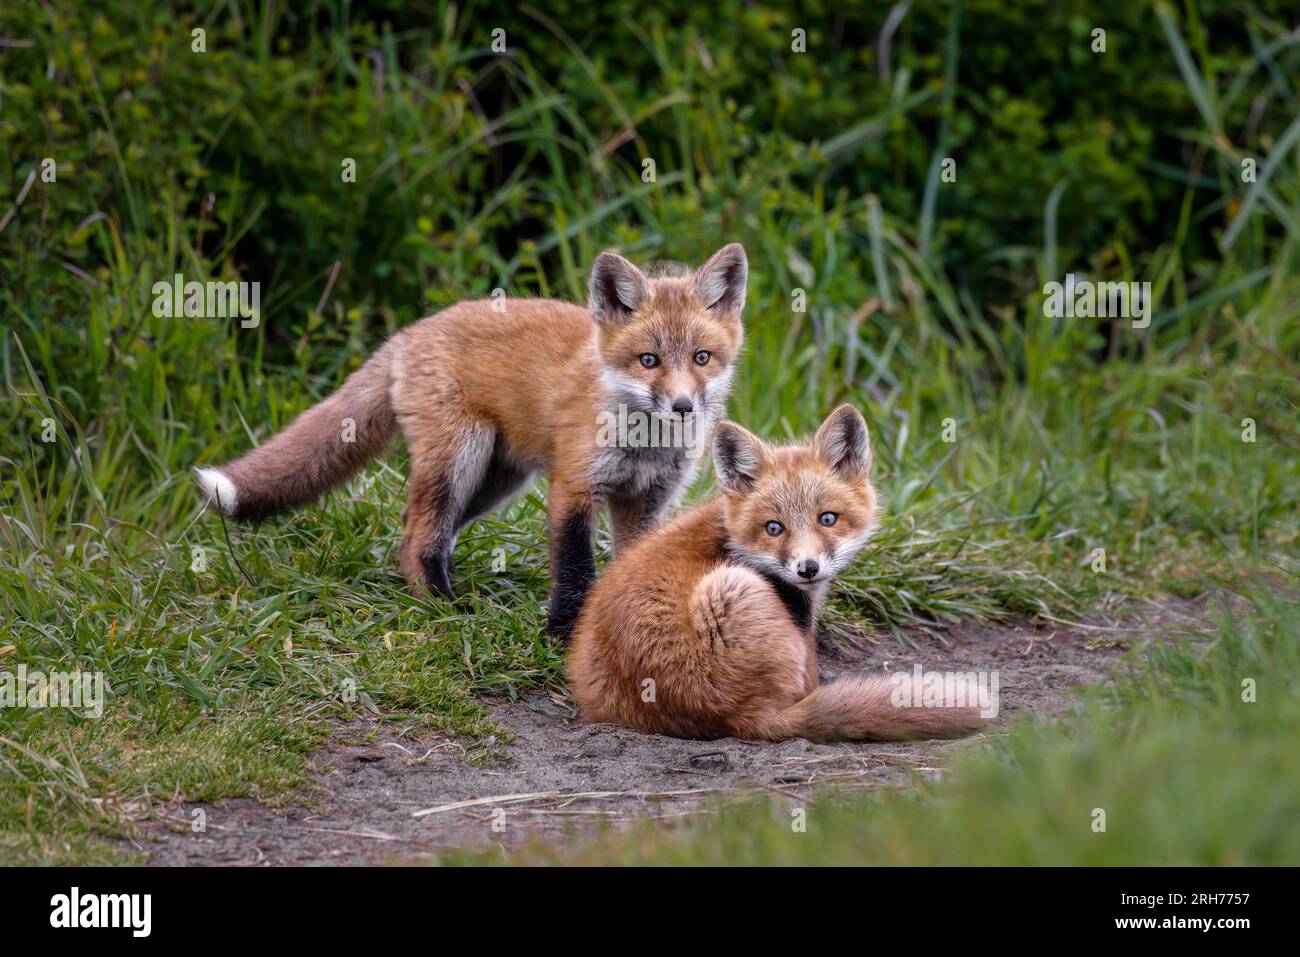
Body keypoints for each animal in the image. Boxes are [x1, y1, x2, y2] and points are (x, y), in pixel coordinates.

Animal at [194, 244, 748, 639]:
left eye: (701, 358)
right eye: (648, 360)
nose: (683, 406)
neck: (645, 443)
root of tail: (409, 332)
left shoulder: (648, 501)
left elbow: (634, 564)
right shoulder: (575, 487)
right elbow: (573, 569)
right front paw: (563, 634)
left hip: (494, 482)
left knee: (420, 531)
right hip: (460, 458)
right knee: (417, 534)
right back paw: (441, 606)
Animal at [567, 404, 987, 742]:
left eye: (827, 518)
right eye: (774, 528)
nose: (808, 568)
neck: (729, 538)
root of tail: (737, 718)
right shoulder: (800, 629)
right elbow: (813, 675)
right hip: (729, 588)